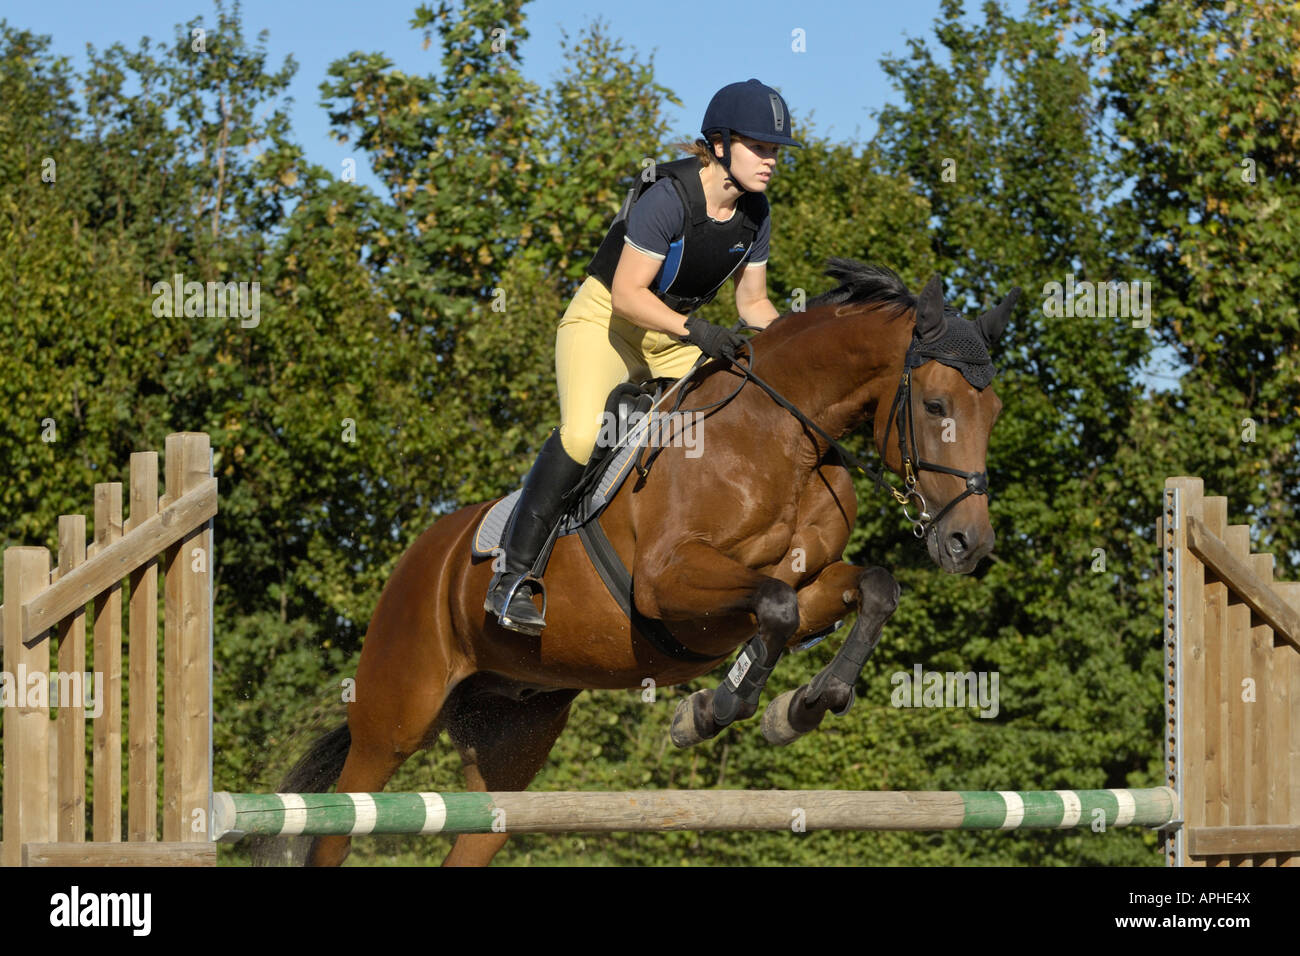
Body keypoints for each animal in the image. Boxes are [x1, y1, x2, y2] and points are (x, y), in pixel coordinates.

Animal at [280, 260, 1018, 866]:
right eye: (935, 404)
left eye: (994, 411)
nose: (969, 543)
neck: (783, 438)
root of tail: (421, 555)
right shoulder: (669, 585)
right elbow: (774, 606)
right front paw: (714, 709)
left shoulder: (805, 581)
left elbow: (868, 590)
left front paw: (798, 708)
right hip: (393, 719)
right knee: (339, 823)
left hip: (512, 737)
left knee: (476, 833)